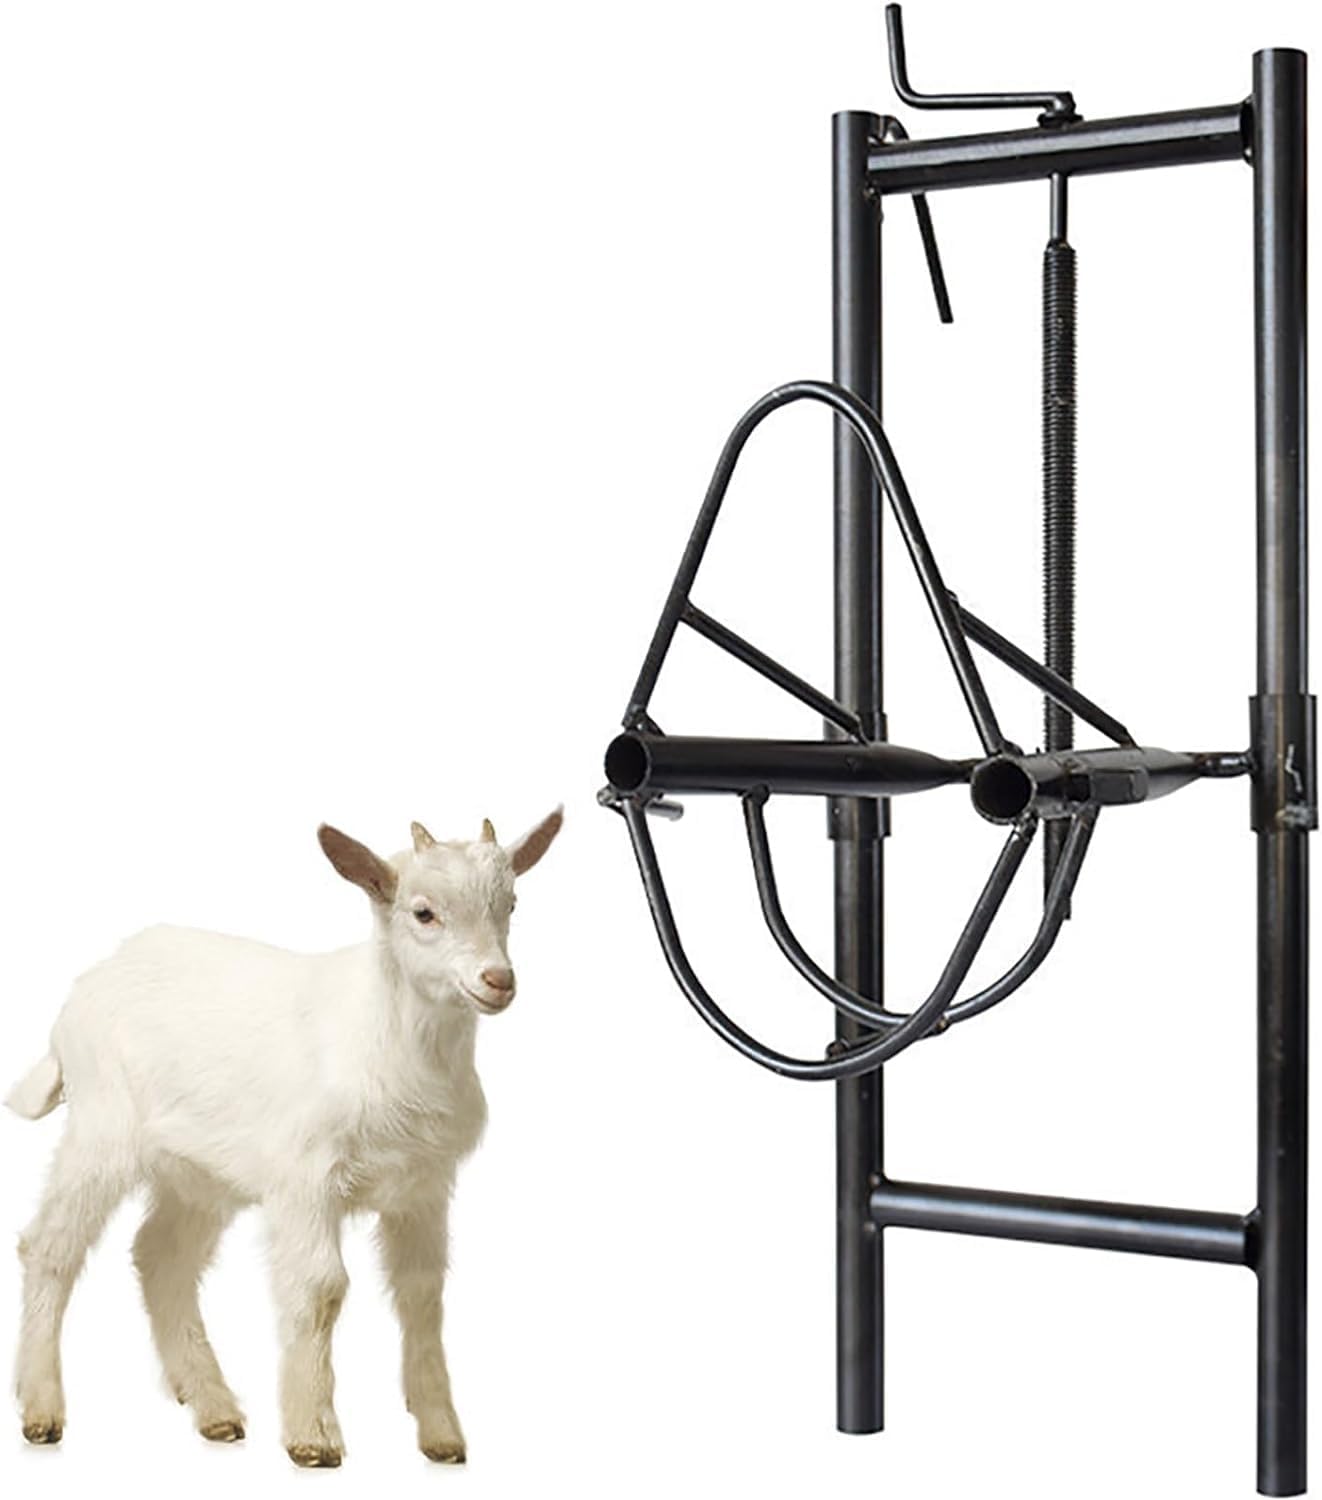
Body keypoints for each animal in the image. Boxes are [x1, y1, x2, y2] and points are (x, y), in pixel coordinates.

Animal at [7, 806, 563, 1467]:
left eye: (512, 903)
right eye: (423, 912)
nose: (497, 980)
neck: (386, 1037)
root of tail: (79, 998)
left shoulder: (423, 1187)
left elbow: (423, 1294)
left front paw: (442, 1434)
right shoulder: (307, 1178)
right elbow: (321, 1287)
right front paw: (313, 1436)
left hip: (199, 1171)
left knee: (161, 1256)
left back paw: (214, 1408)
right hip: (102, 1126)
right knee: (49, 1246)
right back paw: (41, 1409)